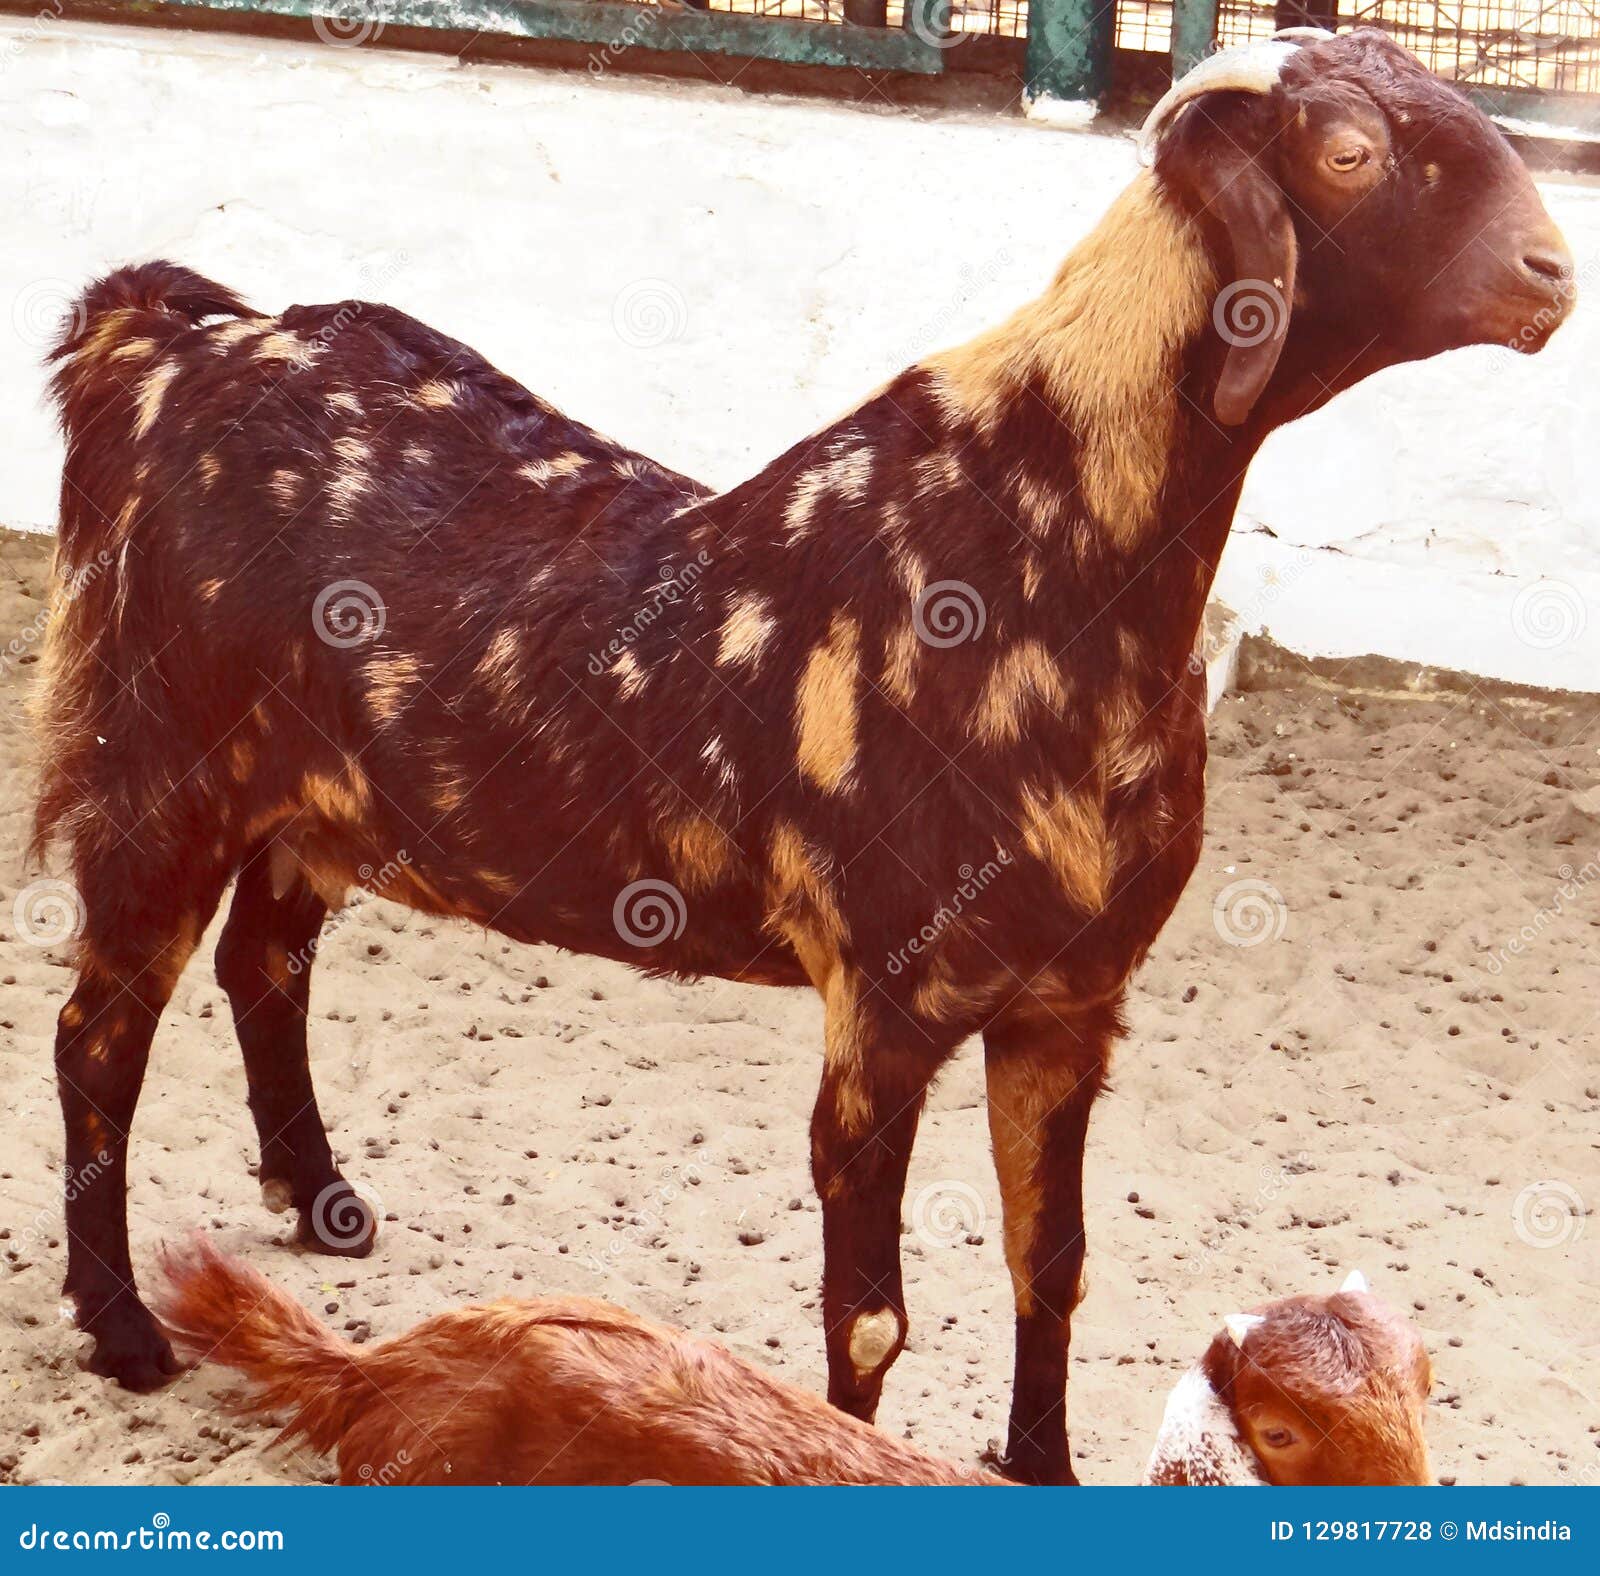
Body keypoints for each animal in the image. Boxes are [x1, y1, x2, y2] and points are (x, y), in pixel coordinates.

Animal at [37, 27, 1569, 1483]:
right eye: (1350, 151)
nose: (1551, 273)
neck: (1040, 558)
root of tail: (165, 344)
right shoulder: (884, 1000)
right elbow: (870, 1319)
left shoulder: (1070, 1000)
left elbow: (1053, 1262)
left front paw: (1043, 1463)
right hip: (158, 779)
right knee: (97, 1034)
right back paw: (123, 1330)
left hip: (316, 804)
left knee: (263, 963)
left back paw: (322, 1201)